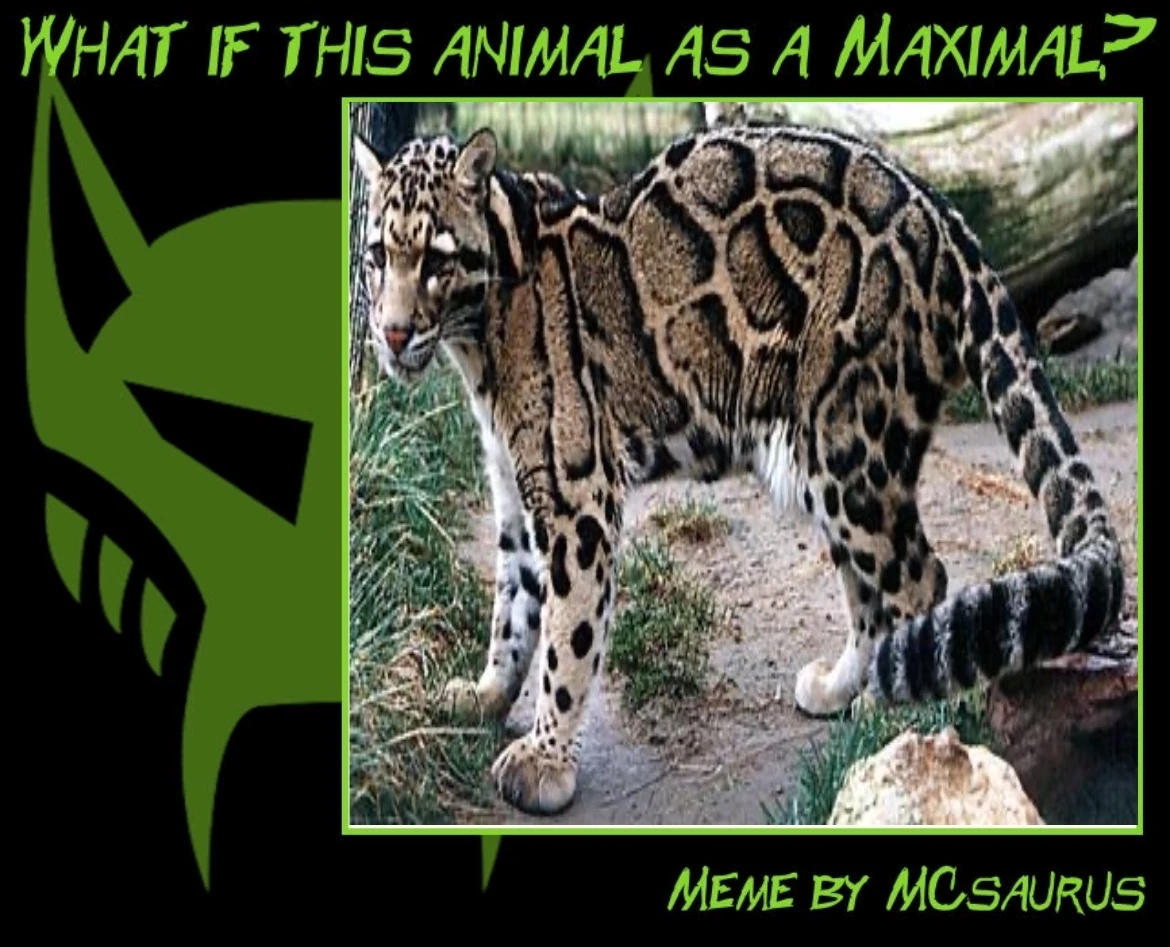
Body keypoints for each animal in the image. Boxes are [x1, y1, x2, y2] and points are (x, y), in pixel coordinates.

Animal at [350, 115, 1126, 818]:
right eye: (378, 253)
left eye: (437, 260)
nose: (391, 332)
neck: (477, 345)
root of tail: (942, 214)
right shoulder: (516, 488)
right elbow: (513, 605)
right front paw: (484, 695)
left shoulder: (577, 495)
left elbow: (567, 637)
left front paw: (545, 761)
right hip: (824, 457)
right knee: (868, 583)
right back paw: (844, 687)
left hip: (848, 439)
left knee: (917, 578)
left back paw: (902, 724)